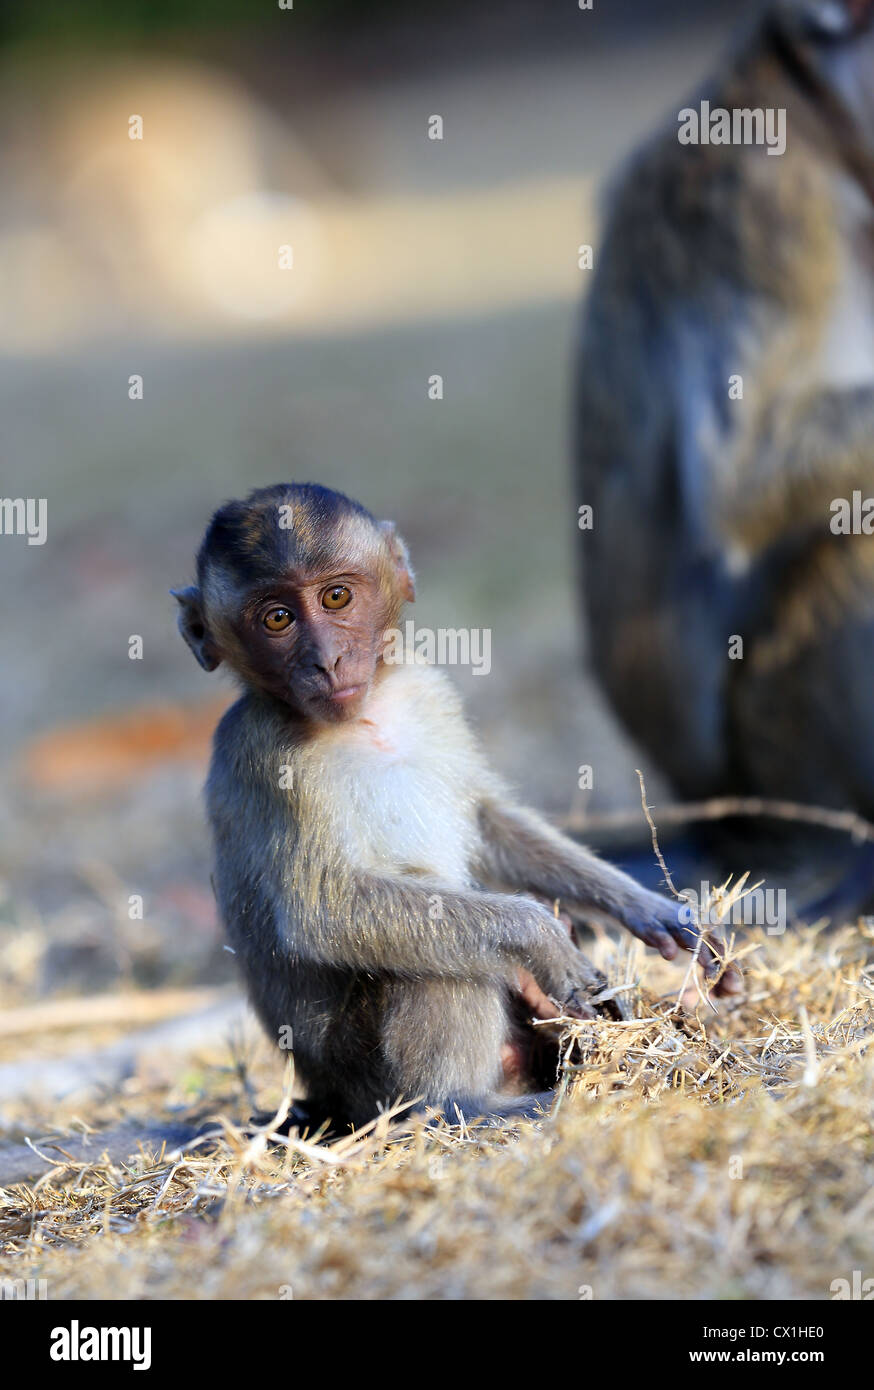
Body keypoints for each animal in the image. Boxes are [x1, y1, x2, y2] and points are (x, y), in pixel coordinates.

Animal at [170, 483, 738, 1134]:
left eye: (336, 596)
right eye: (277, 619)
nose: (327, 661)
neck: (367, 718)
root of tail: (331, 1100)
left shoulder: (428, 689)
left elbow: (488, 821)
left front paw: (656, 911)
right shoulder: (265, 754)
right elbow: (323, 912)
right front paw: (542, 940)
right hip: (367, 1077)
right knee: (438, 958)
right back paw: (462, 1104)